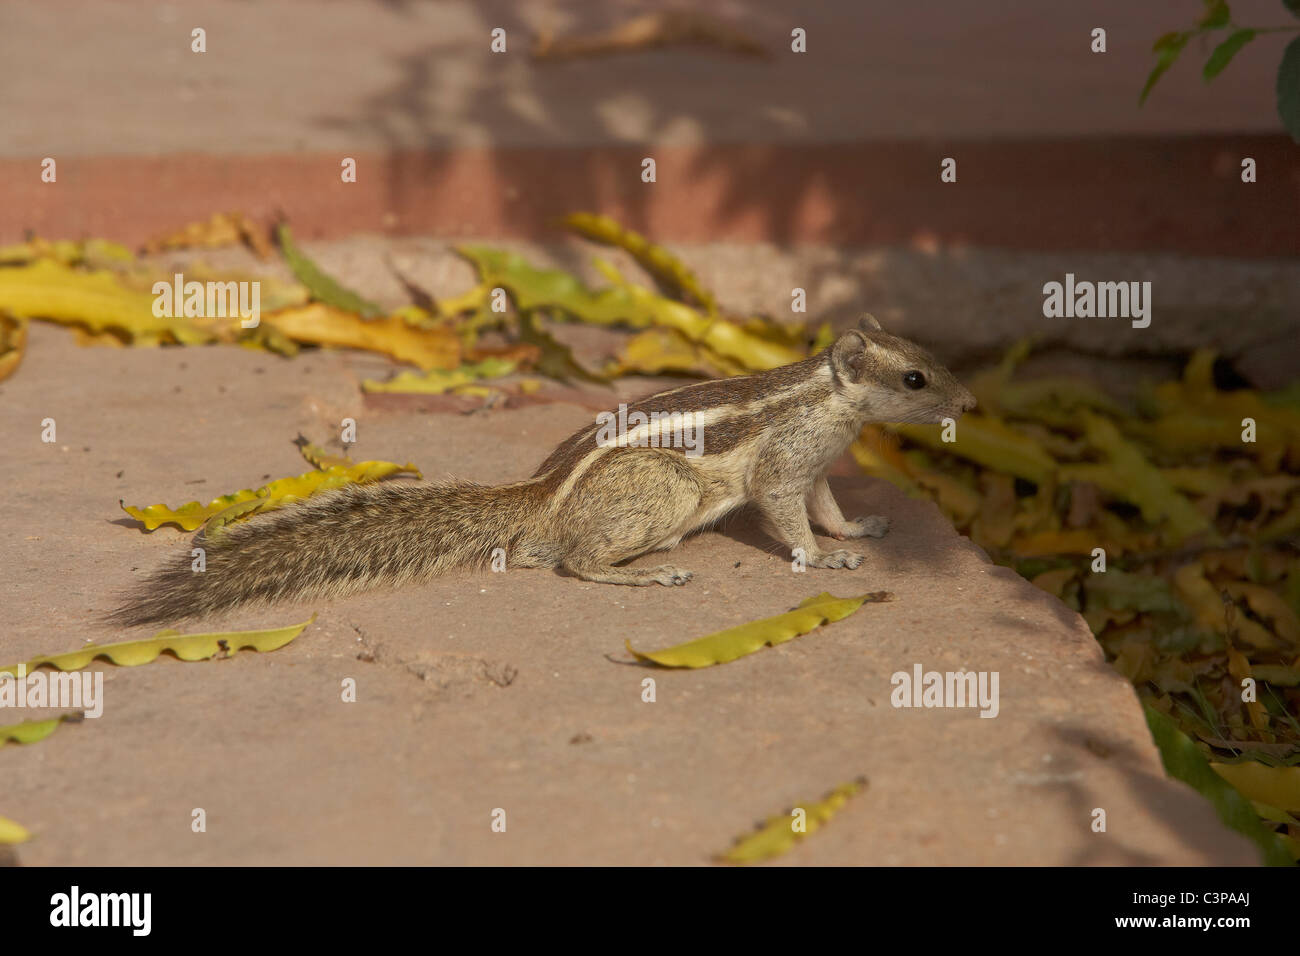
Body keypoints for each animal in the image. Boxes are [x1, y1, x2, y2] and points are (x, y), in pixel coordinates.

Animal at [106, 315, 976, 628]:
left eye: (935, 356)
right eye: (915, 380)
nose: (969, 397)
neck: (829, 401)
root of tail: (538, 499)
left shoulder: (818, 469)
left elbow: (828, 506)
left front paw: (857, 527)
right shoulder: (782, 468)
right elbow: (790, 518)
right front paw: (822, 559)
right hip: (664, 488)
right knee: (574, 561)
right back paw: (643, 572)